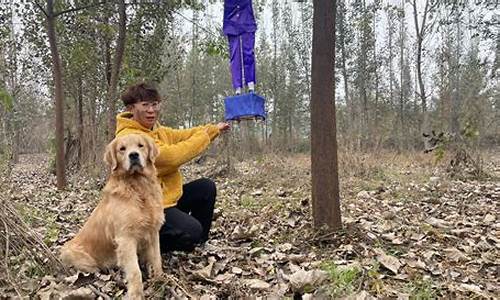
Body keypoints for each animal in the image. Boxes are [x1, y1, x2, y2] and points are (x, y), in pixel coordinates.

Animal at [59, 134, 163, 300]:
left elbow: (157, 259)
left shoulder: (153, 232)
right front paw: (136, 294)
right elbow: (135, 272)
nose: (133, 155)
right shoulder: (126, 238)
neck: (137, 185)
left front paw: (161, 280)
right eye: (122, 149)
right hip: (81, 258)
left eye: (140, 145)